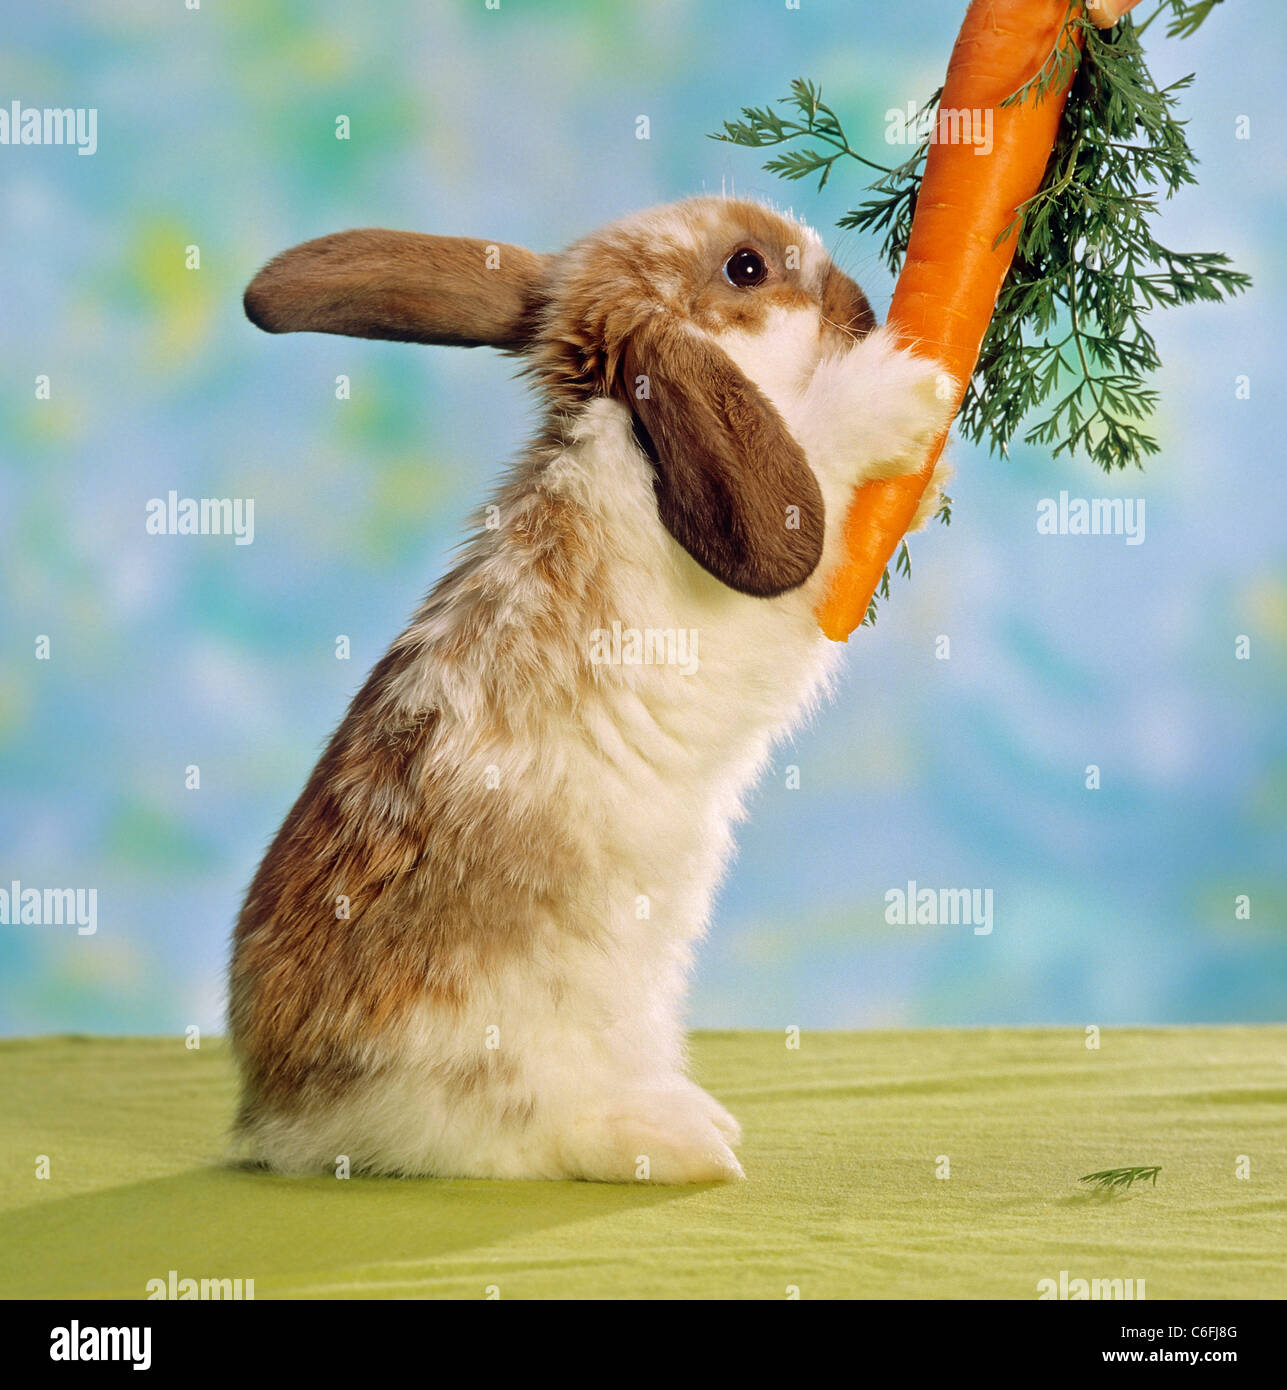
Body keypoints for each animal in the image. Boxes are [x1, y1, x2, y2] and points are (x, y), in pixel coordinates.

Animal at [229, 195, 954, 1183]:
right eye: (747, 268)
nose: (861, 309)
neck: (637, 444)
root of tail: (286, 1119)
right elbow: (822, 446)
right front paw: (906, 393)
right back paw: (676, 1143)